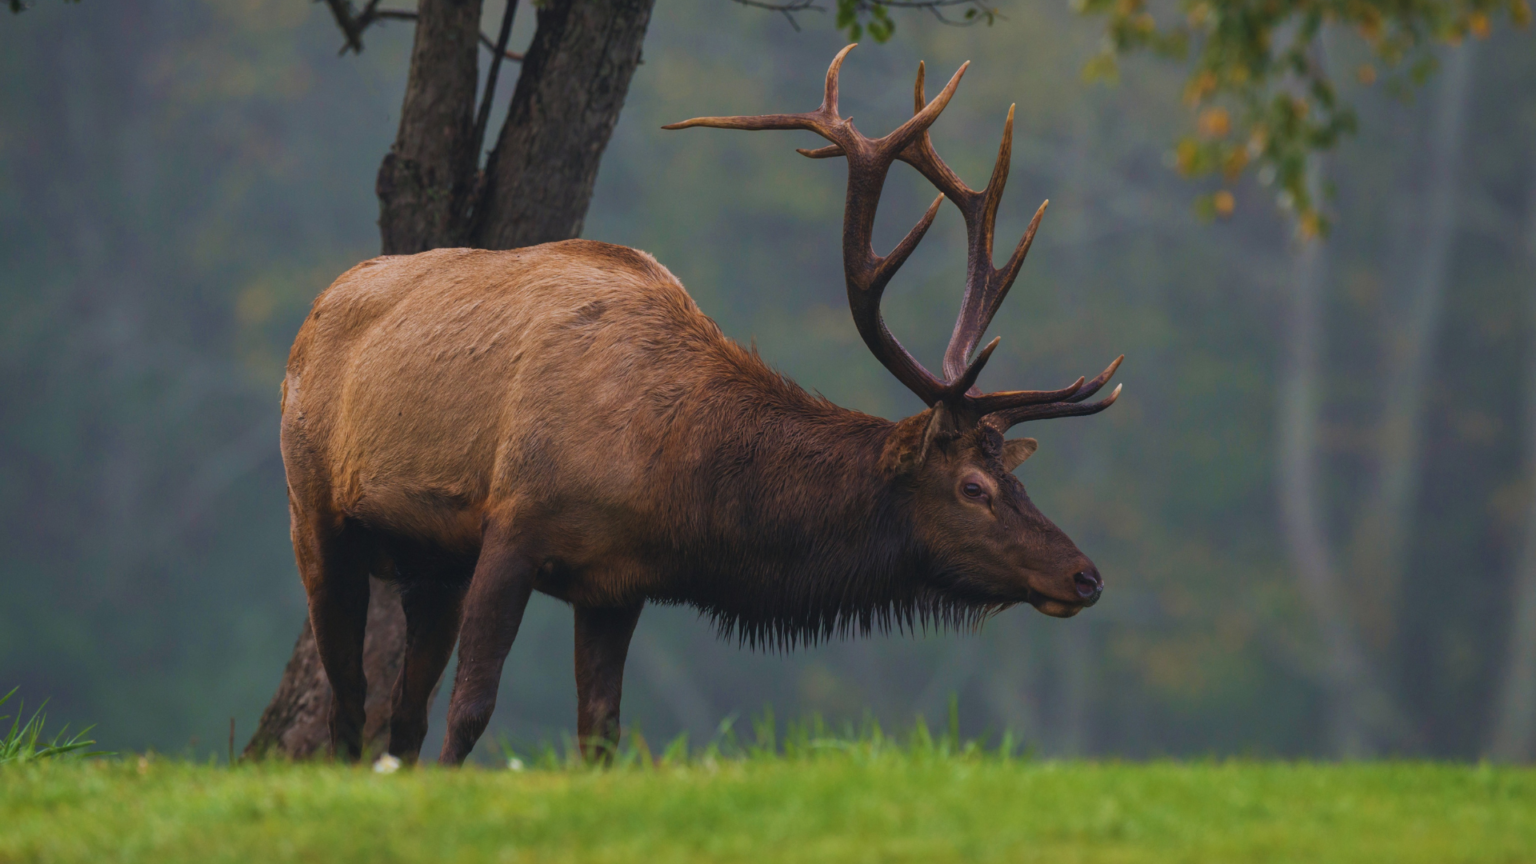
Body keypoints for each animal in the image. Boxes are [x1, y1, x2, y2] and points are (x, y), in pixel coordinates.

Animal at [279, 45, 1123, 766]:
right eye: (974, 488)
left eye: (1018, 479)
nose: (1085, 577)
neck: (671, 481)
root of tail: (317, 306)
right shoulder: (513, 528)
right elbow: (473, 709)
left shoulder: (616, 583)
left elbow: (601, 732)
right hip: (316, 512)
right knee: (350, 701)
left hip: (433, 563)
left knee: (399, 713)